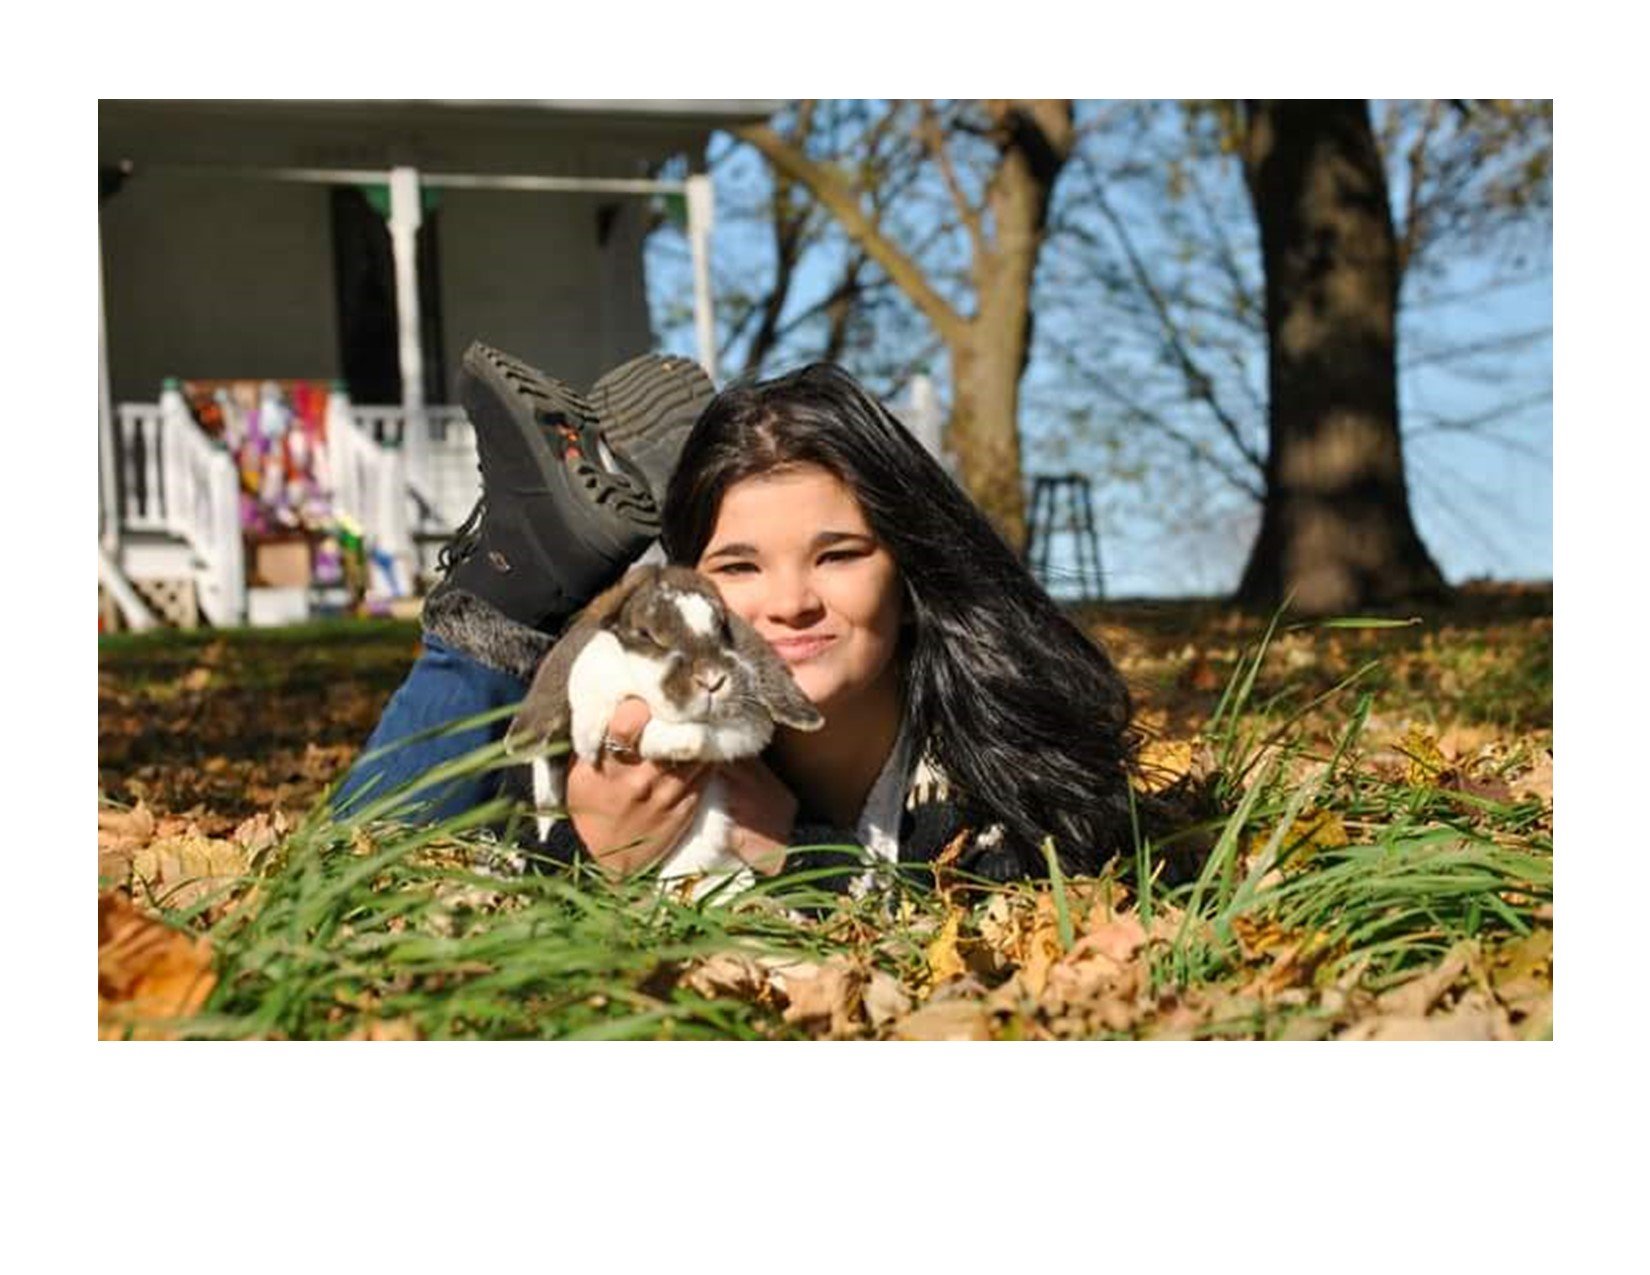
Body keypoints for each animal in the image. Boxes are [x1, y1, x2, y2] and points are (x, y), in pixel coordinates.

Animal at [505, 564, 824, 898]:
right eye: (647, 635)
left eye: (722, 630)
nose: (712, 679)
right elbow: (591, 671)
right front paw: (588, 740)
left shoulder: (747, 728)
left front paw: (681, 741)